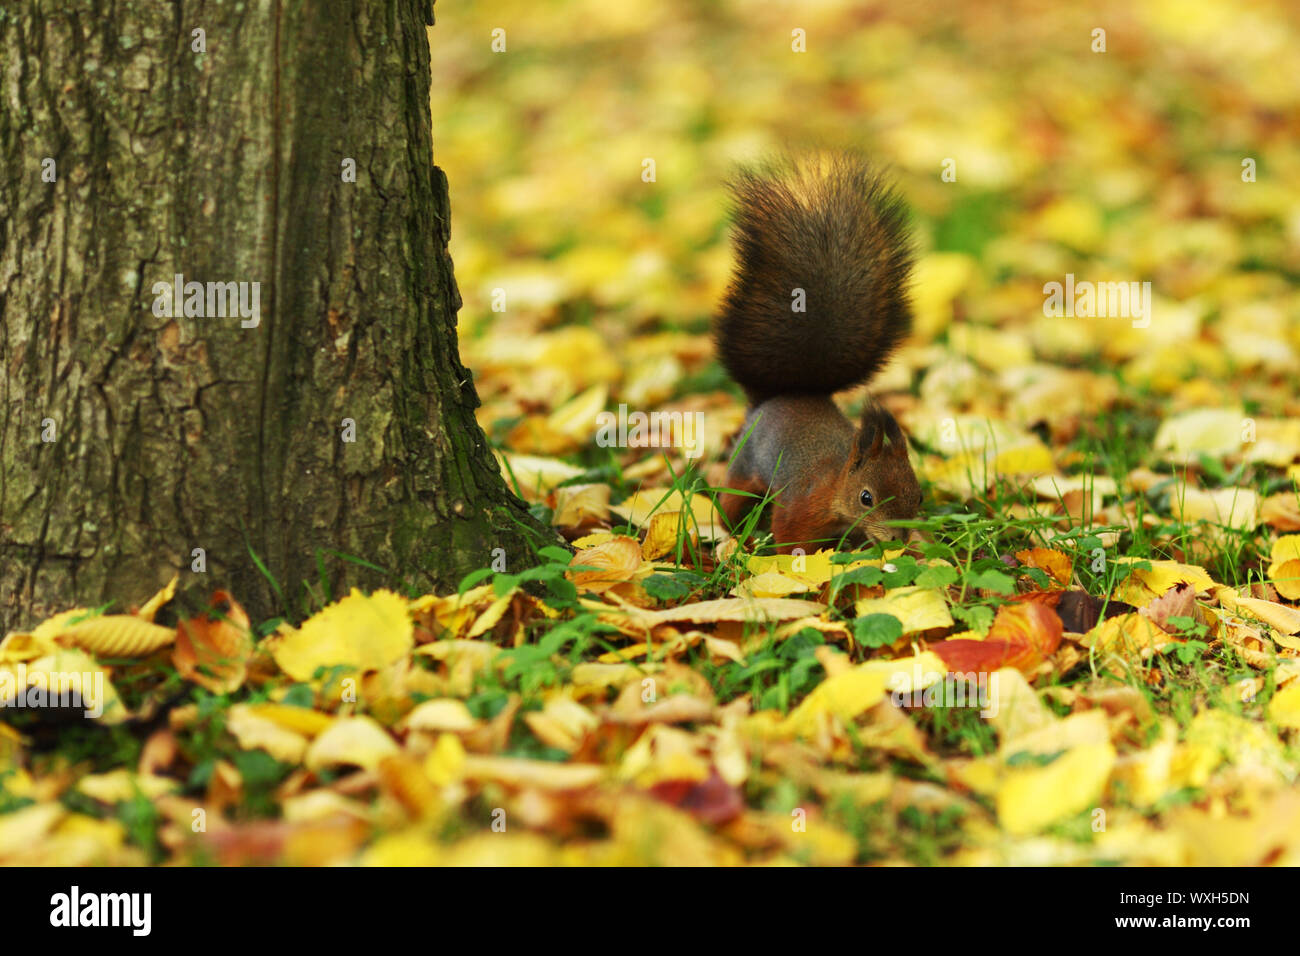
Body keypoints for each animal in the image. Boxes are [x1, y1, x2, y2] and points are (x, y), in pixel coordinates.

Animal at [713, 152, 922, 554]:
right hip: (744, 466)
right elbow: (789, 539)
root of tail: (774, 399)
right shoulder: (799, 507)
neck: (837, 486)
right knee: (731, 500)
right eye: (866, 498)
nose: (899, 536)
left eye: (919, 495)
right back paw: (733, 535)